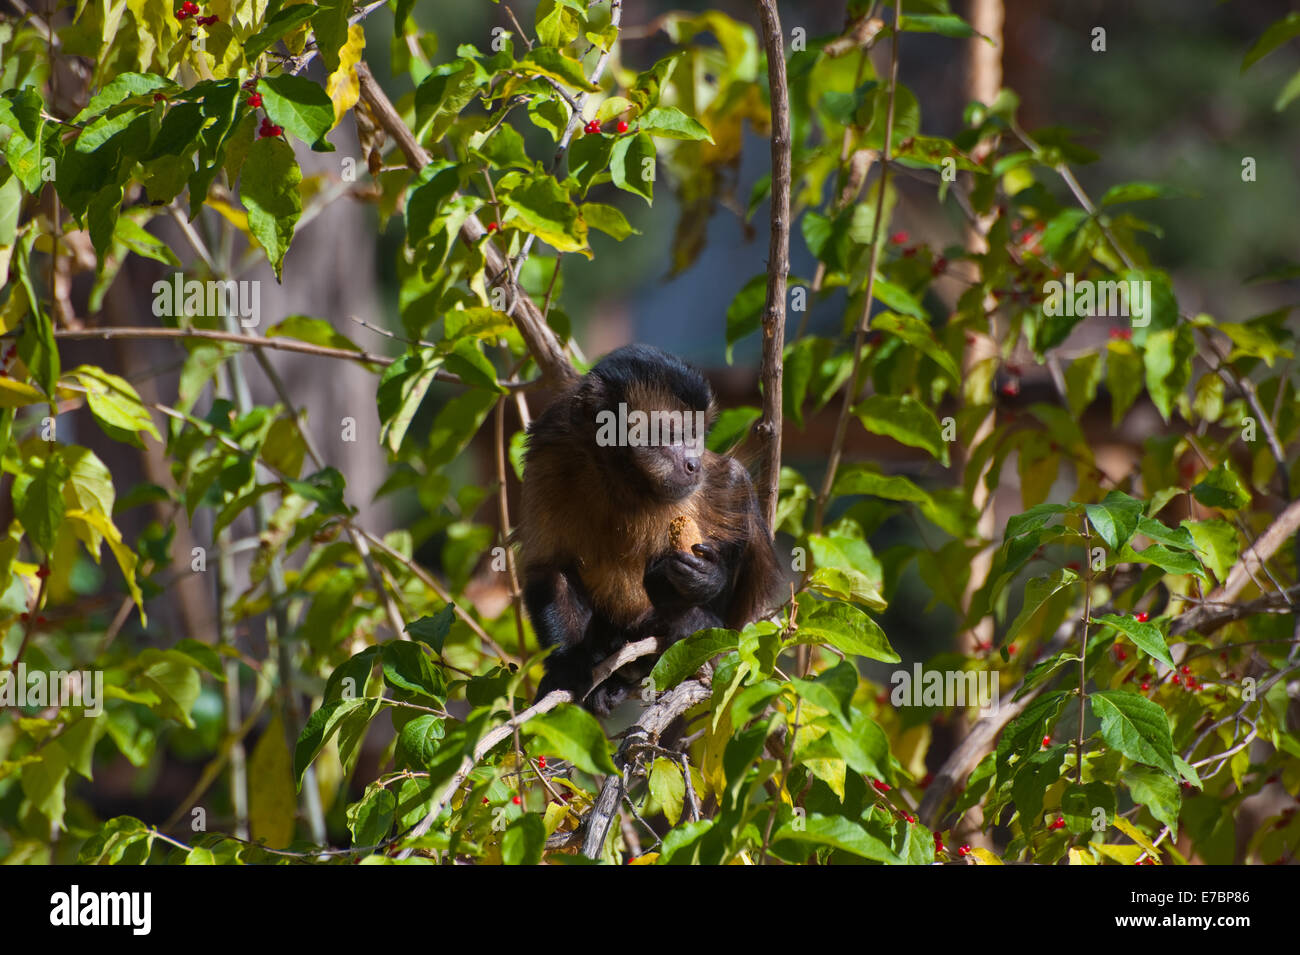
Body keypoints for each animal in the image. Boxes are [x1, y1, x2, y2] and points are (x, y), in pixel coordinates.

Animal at [516, 344, 783, 715]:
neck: (624, 479)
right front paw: (568, 667)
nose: (693, 462)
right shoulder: (550, 453)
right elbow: (548, 566)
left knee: (734, 479)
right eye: (672, 435)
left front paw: (704, 580)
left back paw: (690, 621)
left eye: (696, 436)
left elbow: (729, 482)